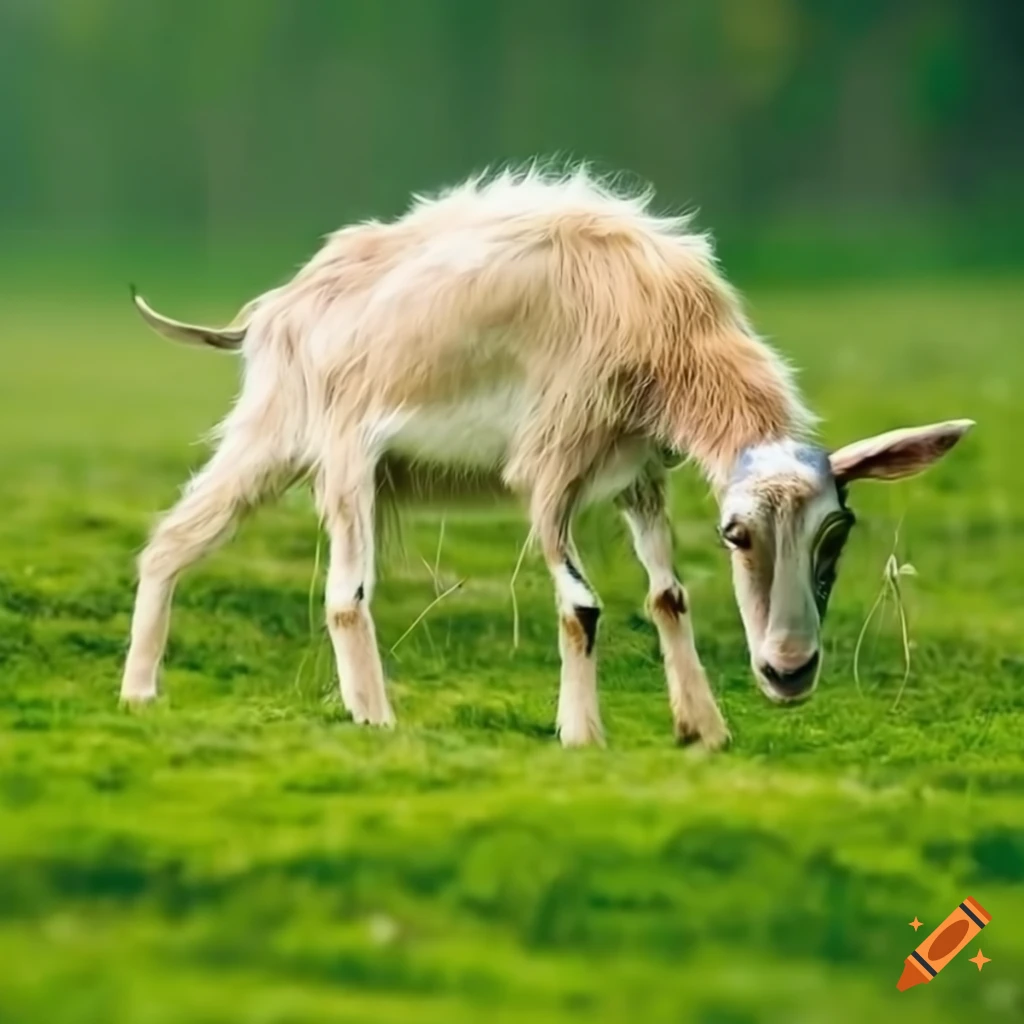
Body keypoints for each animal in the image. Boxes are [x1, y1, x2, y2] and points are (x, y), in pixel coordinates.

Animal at [120, 167, 973, 748]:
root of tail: (271, 309)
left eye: (838, 531)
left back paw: (144, 695)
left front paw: (702, 730)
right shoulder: (551, 470)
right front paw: (582, 736)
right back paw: (361, 719)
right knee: (325, 590)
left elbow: (668, 596)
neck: (667, 326)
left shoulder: (638, 473)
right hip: (313, 448)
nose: (789, 672)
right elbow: (582, 605)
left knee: (181, 544)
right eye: (736, 534)